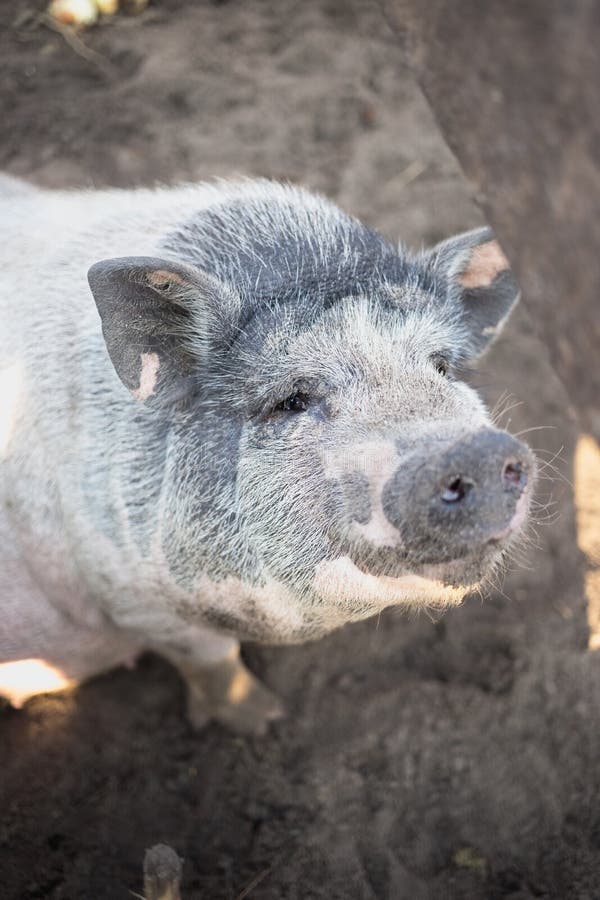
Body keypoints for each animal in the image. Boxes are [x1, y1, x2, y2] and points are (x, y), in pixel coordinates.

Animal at [0, 175, 534, 733]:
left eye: (441, 366)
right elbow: (211, 658)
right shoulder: (128, 591)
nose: (474, 451)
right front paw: (268, 720)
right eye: (292, 400)